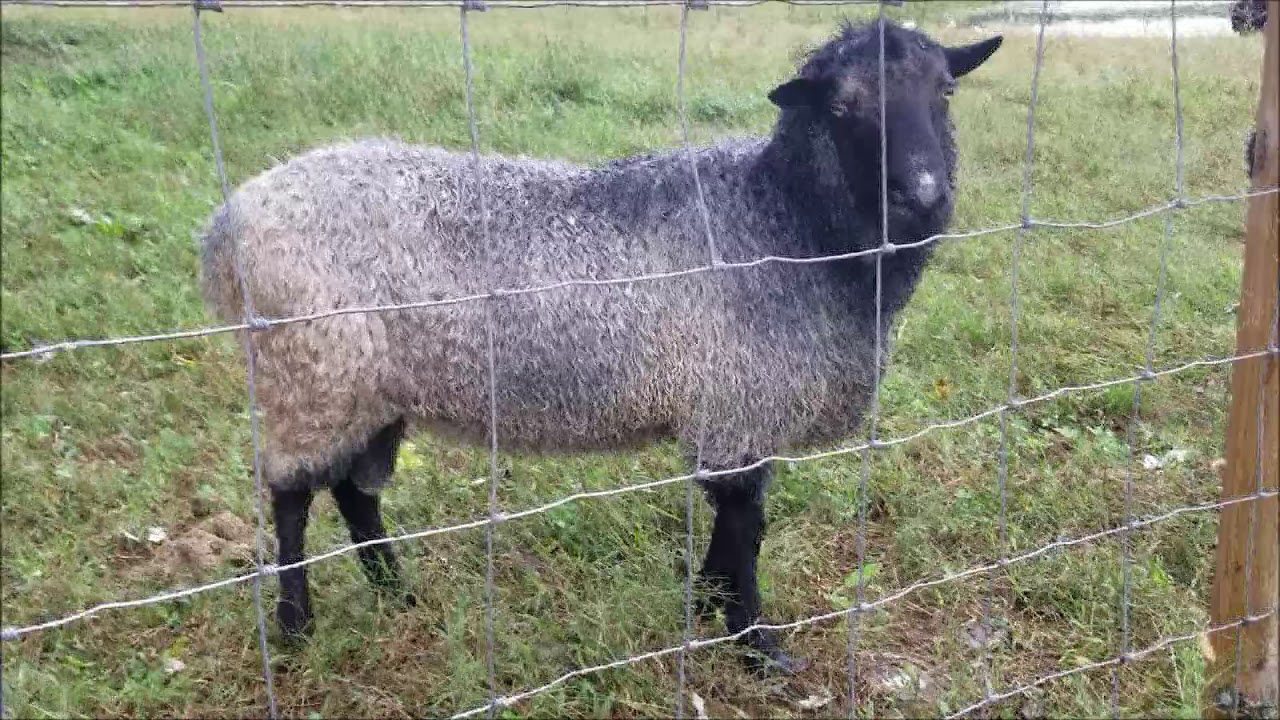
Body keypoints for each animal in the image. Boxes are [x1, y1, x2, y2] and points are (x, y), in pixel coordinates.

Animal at [199, 18, 1002, 674]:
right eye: (842, 106)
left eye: (945, 92)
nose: (924, 193)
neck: (789, 222)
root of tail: (231, 219)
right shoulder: (740, 399)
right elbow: (745, 521)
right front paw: (752, 641)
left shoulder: (739, 409)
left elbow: (735, 520)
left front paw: (707, 605)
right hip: (311, 370)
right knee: (292, 494)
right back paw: (296, 626)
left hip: (368, 383)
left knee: (353, 492)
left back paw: (398, 594)